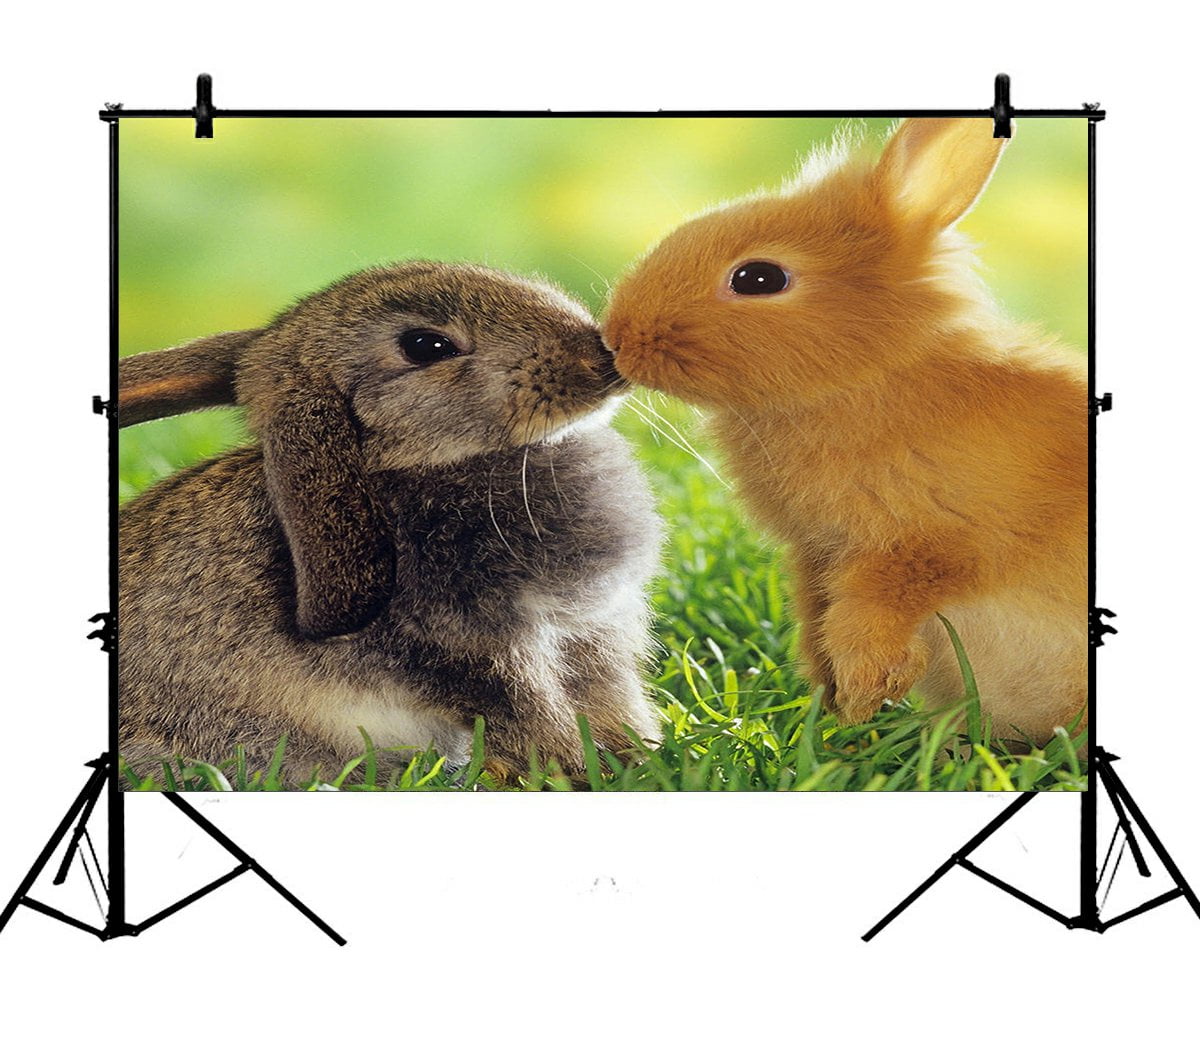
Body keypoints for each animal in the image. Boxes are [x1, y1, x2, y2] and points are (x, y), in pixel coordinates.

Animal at [119, 261, 663, 784]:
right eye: (426, 346)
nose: (600, 356)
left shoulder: (593, 632)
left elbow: (609, 699)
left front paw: (636, 757)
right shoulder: (468, 649)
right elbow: (528, 711)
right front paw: (576, 769)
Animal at [603, 118, 1087, 746]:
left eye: (758, 277)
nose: (615, 337)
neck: (869, 378)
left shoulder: (941, 544)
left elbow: (876, 603)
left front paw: (865, 689)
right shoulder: (816, 556)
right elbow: (820, 614)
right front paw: (836, 702)